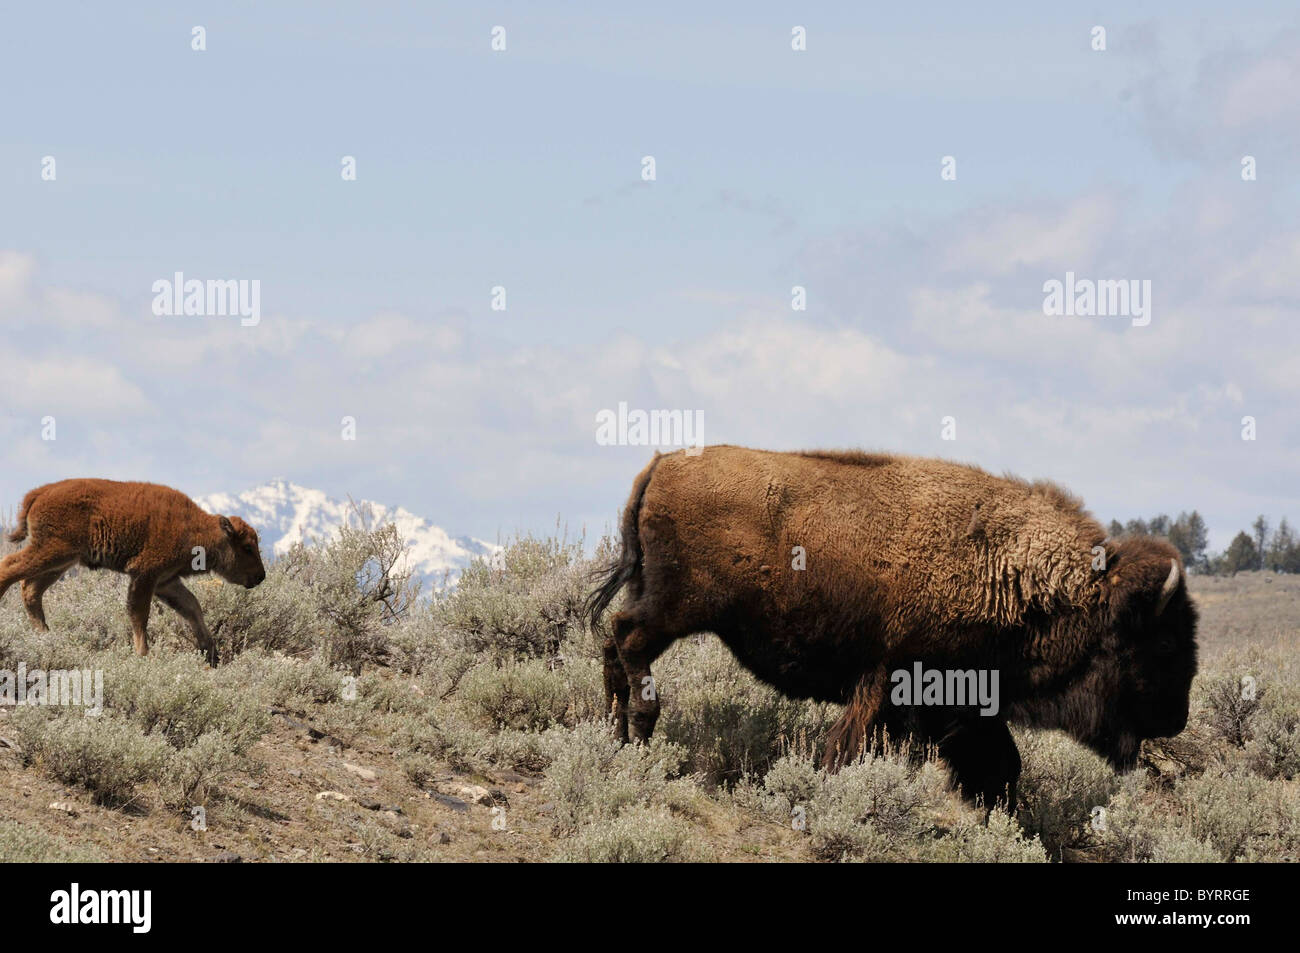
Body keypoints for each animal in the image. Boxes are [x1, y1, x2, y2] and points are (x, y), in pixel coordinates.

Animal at [0, 479, 266, 665]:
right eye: (247, 547)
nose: (260, 576)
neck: (194, 527)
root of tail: (40, 492)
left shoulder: (166, 581)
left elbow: (192, 607)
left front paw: (212, 654)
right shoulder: (145, 574)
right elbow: (140, 614)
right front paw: (143, 654)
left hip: (60, 561)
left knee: (30, 588)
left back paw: (46, 636)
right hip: (52, 551)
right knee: (10, 568)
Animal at [587, 446, 1199, 809]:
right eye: (1165, 639)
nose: (1175, 719)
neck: (1016, 574)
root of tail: (662, 463)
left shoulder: (967, 705)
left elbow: (1001, 764)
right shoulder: (907, 684)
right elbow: (856, 744)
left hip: (657, 601)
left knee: (614, 641)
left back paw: (615, 733)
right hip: (678, 608)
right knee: (629, 643)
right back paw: (640, 729)